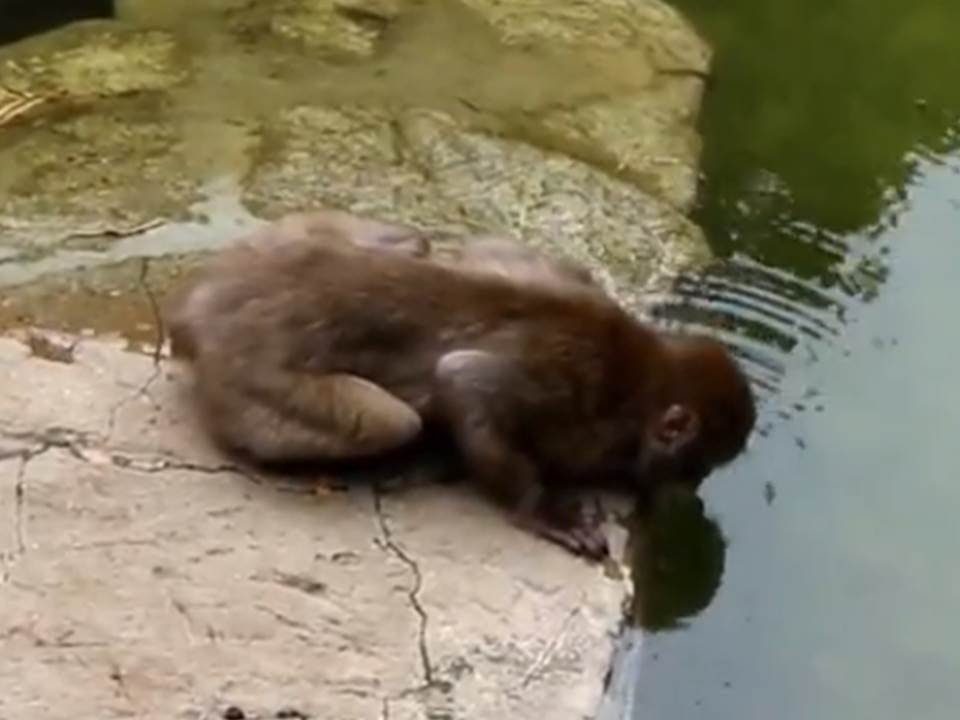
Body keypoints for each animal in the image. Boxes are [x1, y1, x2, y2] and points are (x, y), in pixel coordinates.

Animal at [164, 213, 756, 560]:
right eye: (699, 465)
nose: (694, 487)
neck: (640, 385)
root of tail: (197, 306)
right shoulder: (578, 391)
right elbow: (465, 379)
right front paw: (545, 510)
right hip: (246, 382)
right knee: (393, 422)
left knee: (415, 241)